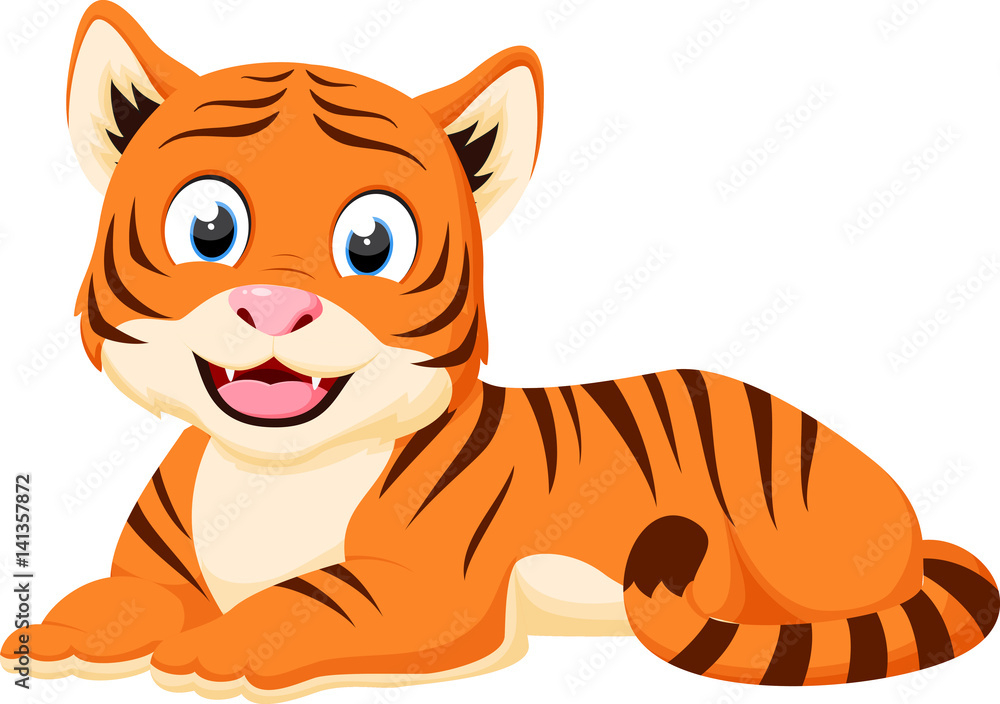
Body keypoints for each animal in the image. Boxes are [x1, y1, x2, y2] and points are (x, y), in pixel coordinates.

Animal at [3, 1, 997, 700]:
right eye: (209, 229)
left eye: (371, 244)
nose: (276, 310)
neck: (274, 470)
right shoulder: (156, 576)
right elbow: (117, 596)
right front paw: (49, 635)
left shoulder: (421, 587)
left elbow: (309, 597)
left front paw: (219, 649)